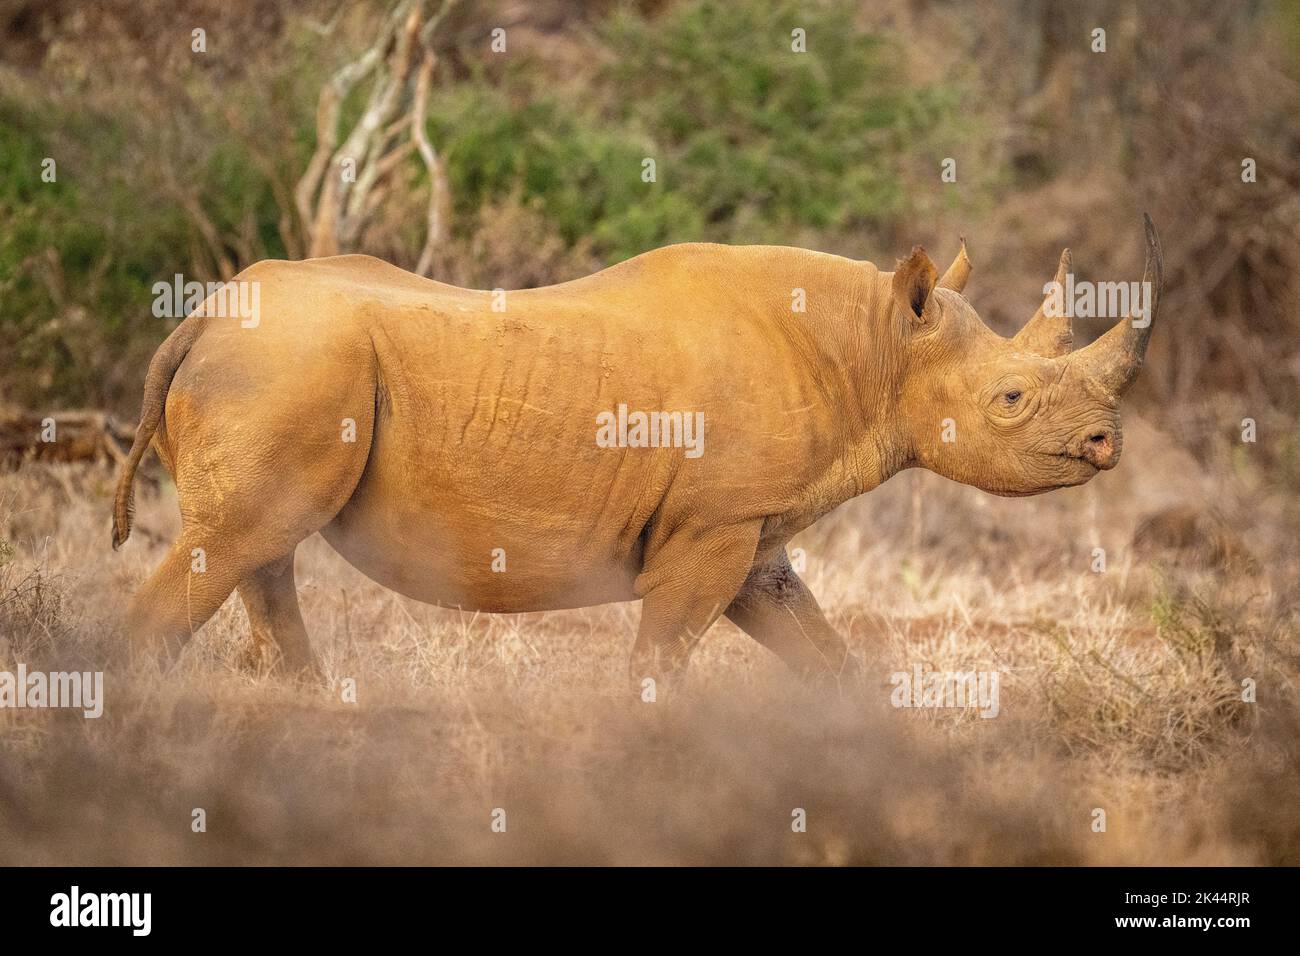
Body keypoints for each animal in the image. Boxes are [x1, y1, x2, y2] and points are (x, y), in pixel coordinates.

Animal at [112, 216, 1162, 686]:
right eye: (1012, 400)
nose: (1106, 443)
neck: (877, 346)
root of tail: (202, 317)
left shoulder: (750, 530)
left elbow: (822, 653)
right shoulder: (712, 527)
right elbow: (659, 661)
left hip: (282, 364)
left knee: (259, 551)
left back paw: (316, 706)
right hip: (283, 364)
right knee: (237, 543)